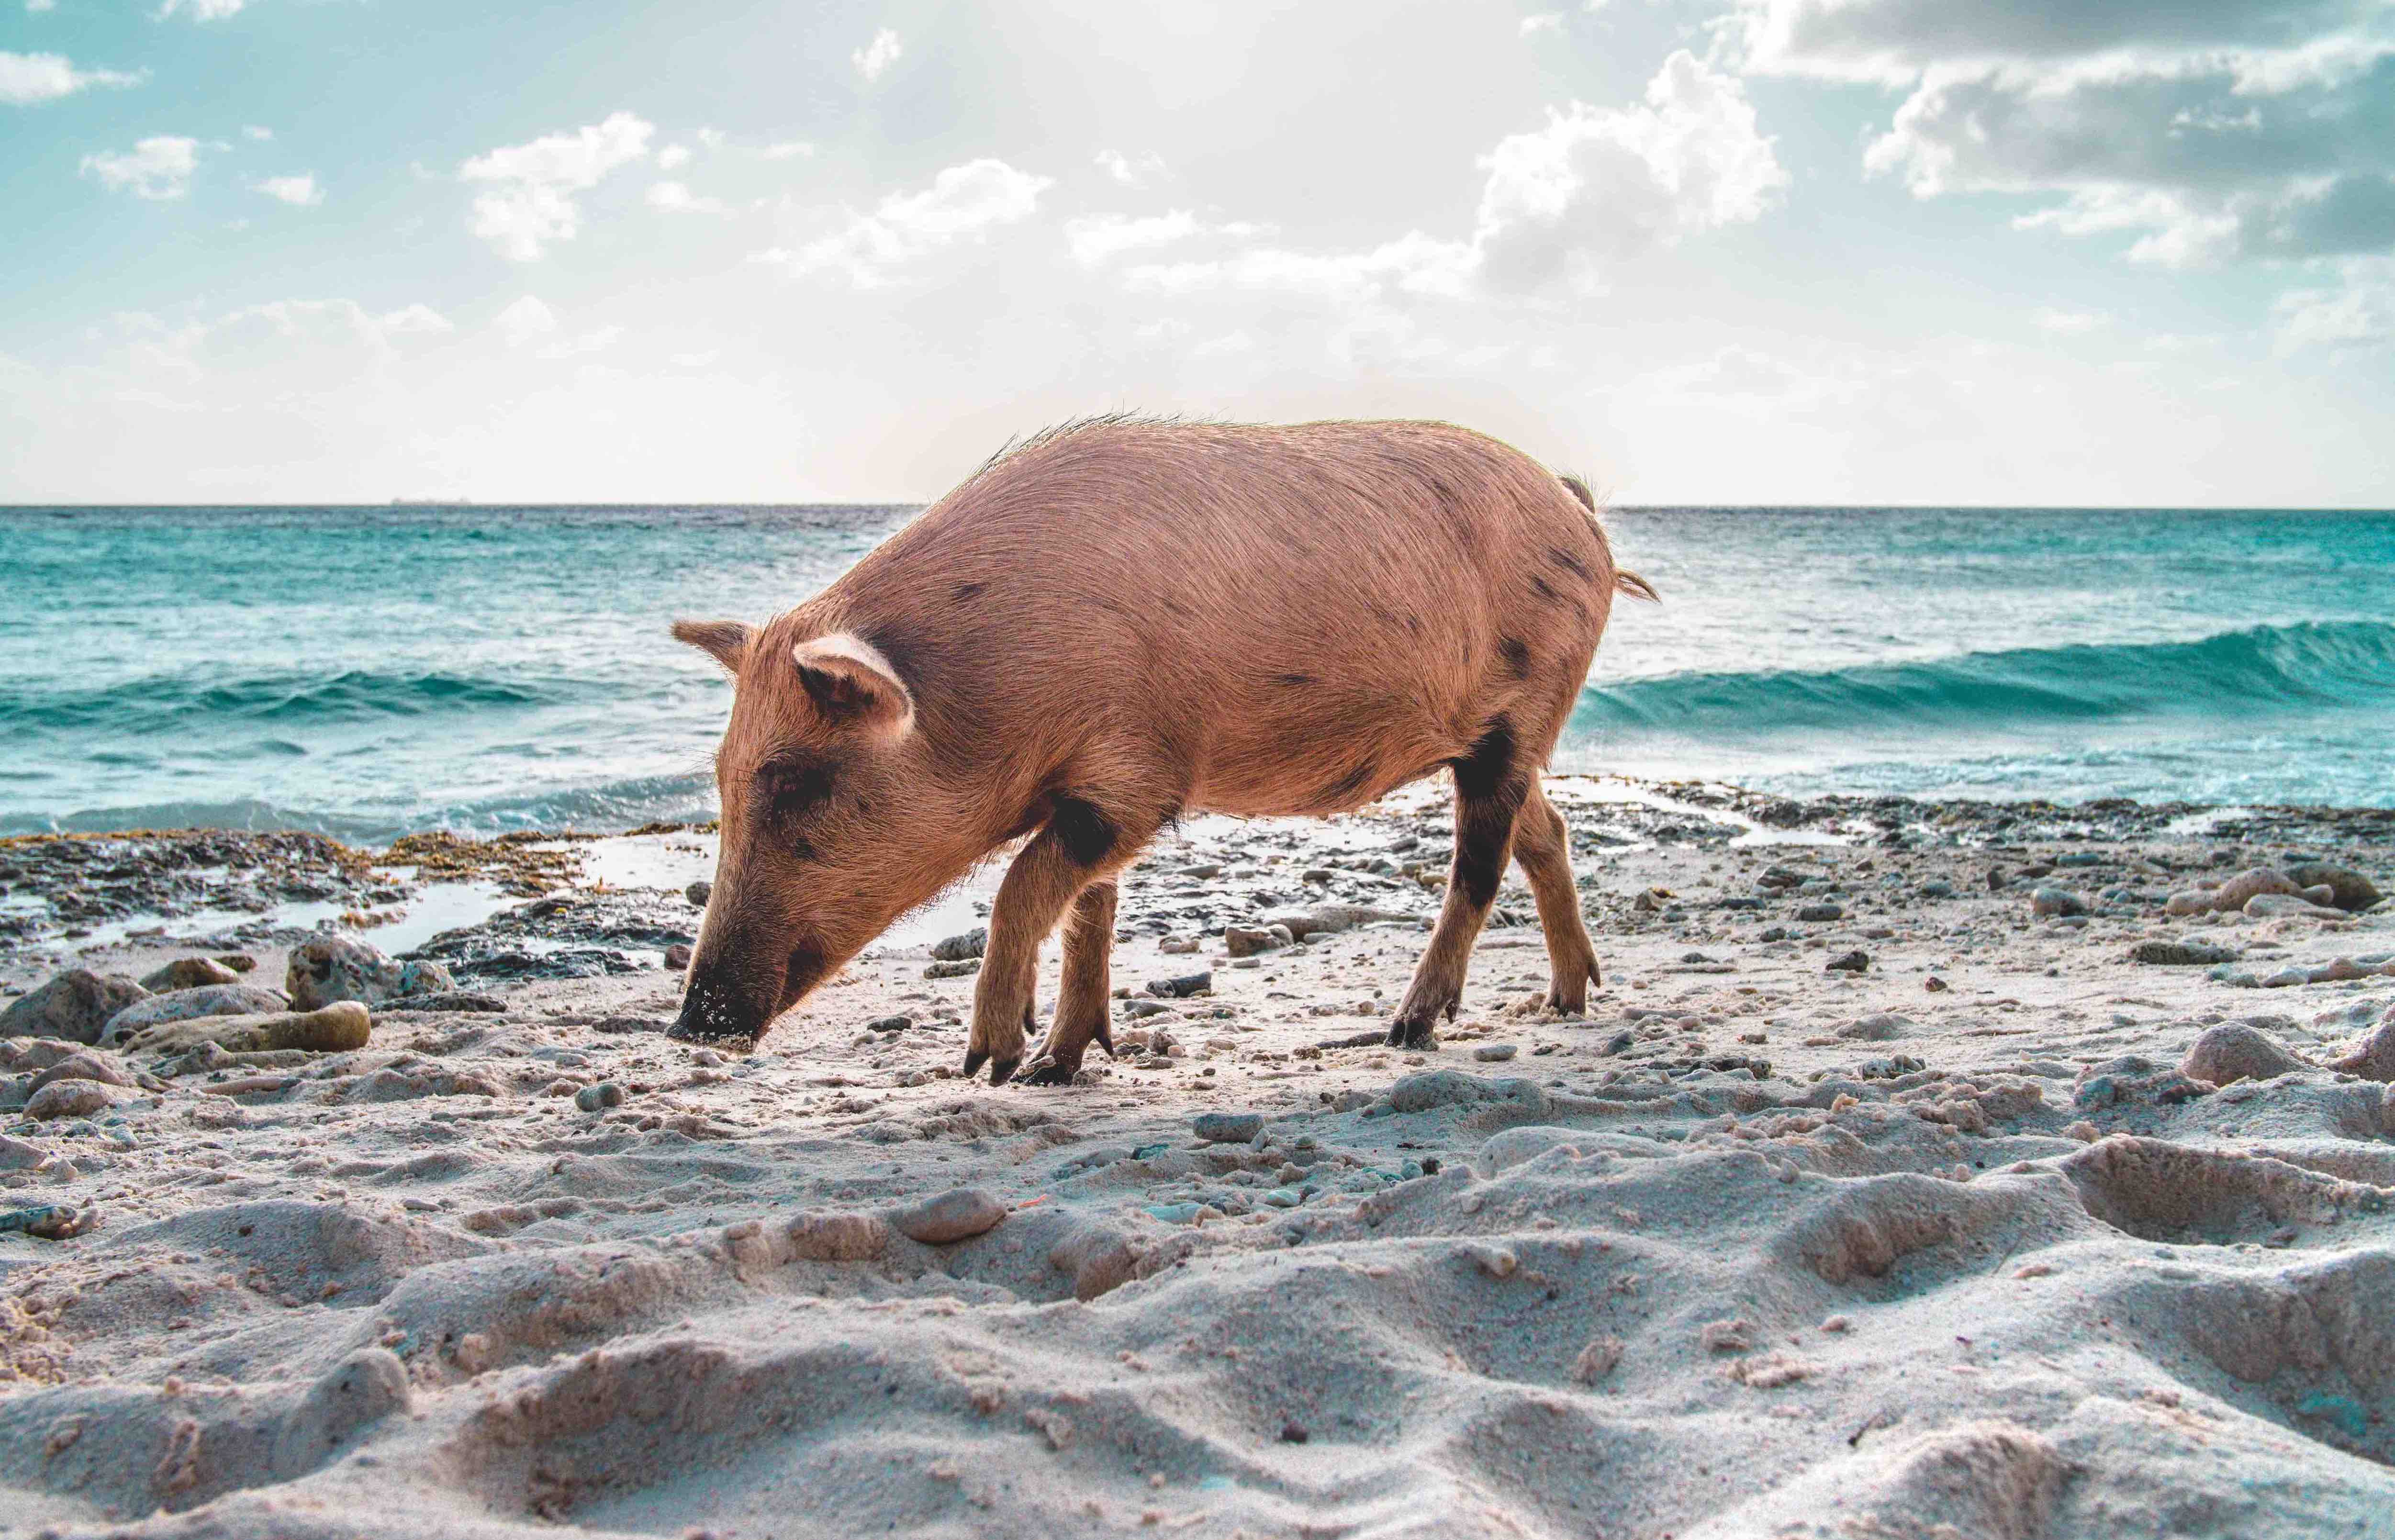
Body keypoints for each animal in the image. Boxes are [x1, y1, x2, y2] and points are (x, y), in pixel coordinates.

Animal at [671, 417, 1654, 1085]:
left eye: (796, 781)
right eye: (721, 780)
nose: (691, 1026)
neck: (991, 683)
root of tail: (1575, 506)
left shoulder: (1138, 776)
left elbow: (1024, 882)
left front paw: (989, 1062)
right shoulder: (1094, 791)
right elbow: (1087, 907)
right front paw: (1054, 1067)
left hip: (1523, 705)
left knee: (1479, 864)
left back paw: (1409, 1028)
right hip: (1503, 736)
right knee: (1545, 832)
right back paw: (1566, 999)